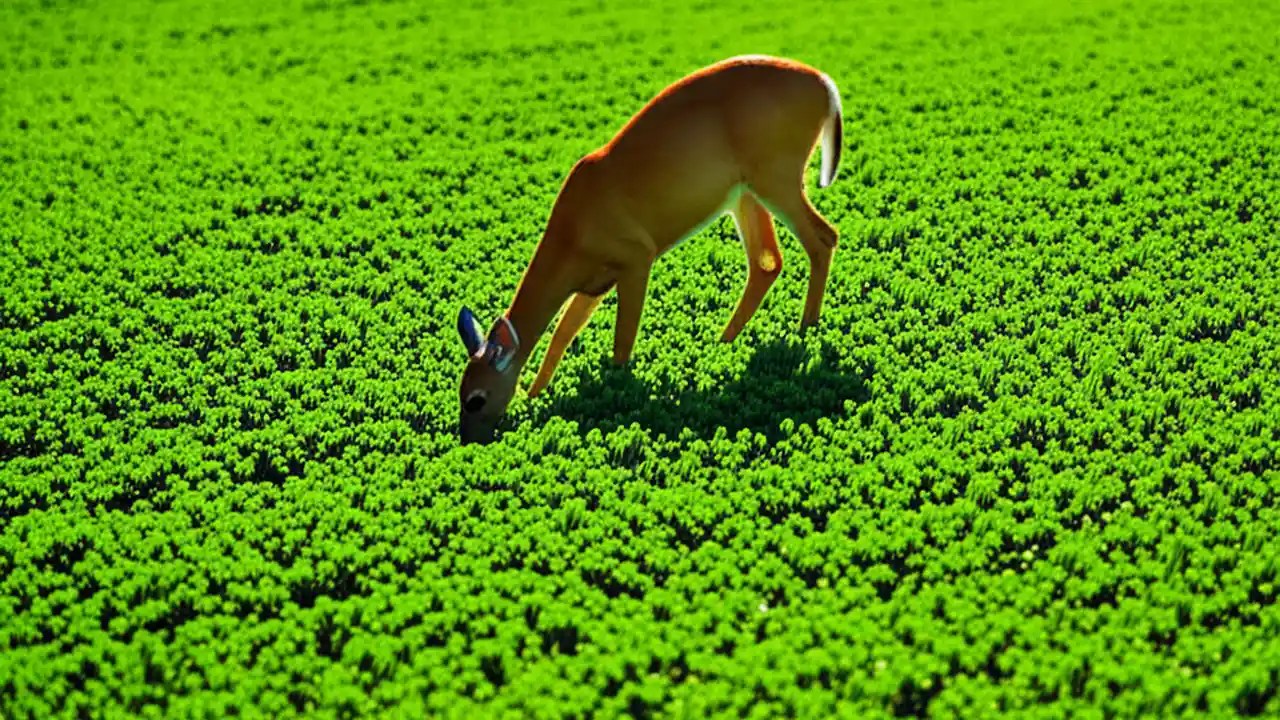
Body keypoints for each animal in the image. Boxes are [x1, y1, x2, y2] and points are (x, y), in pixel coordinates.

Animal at [455, 54, 844, 445]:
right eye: (461, 392)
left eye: (476, 399)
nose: (468, 439)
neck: (573, 235)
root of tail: (826, 86)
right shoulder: (594, 282)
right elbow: (562, 334)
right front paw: (535, 395)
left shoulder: (636, 256)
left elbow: (622, 339)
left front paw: (616, 391)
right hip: (744, 192)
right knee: (767, 262)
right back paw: (725, 343)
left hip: (777, 174)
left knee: (823, 237)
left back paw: (806, 329)